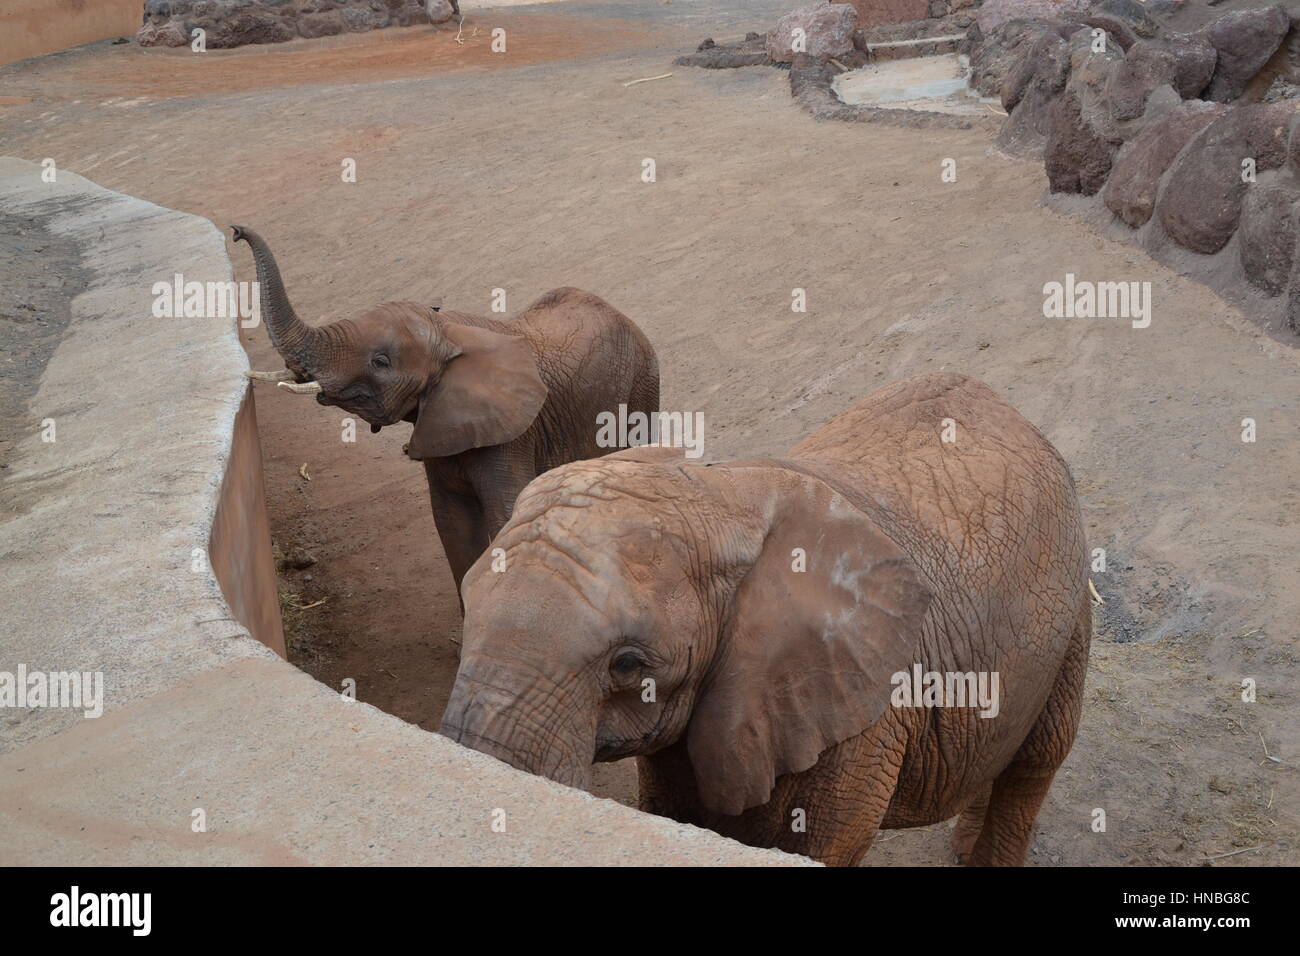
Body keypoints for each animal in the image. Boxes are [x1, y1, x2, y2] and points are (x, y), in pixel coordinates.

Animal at [230, 226, 659, 593]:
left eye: (381, 362)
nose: (235, 232)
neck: (448, 332)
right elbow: (453, 526)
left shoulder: (514, 435)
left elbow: (505, 514)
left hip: (643, 384)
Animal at [439, 373, 1091, 866]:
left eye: (627, 664)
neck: (719, 496)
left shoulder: (864, 714)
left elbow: (825, 846)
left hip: (1072, 607)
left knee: (1037, 761)